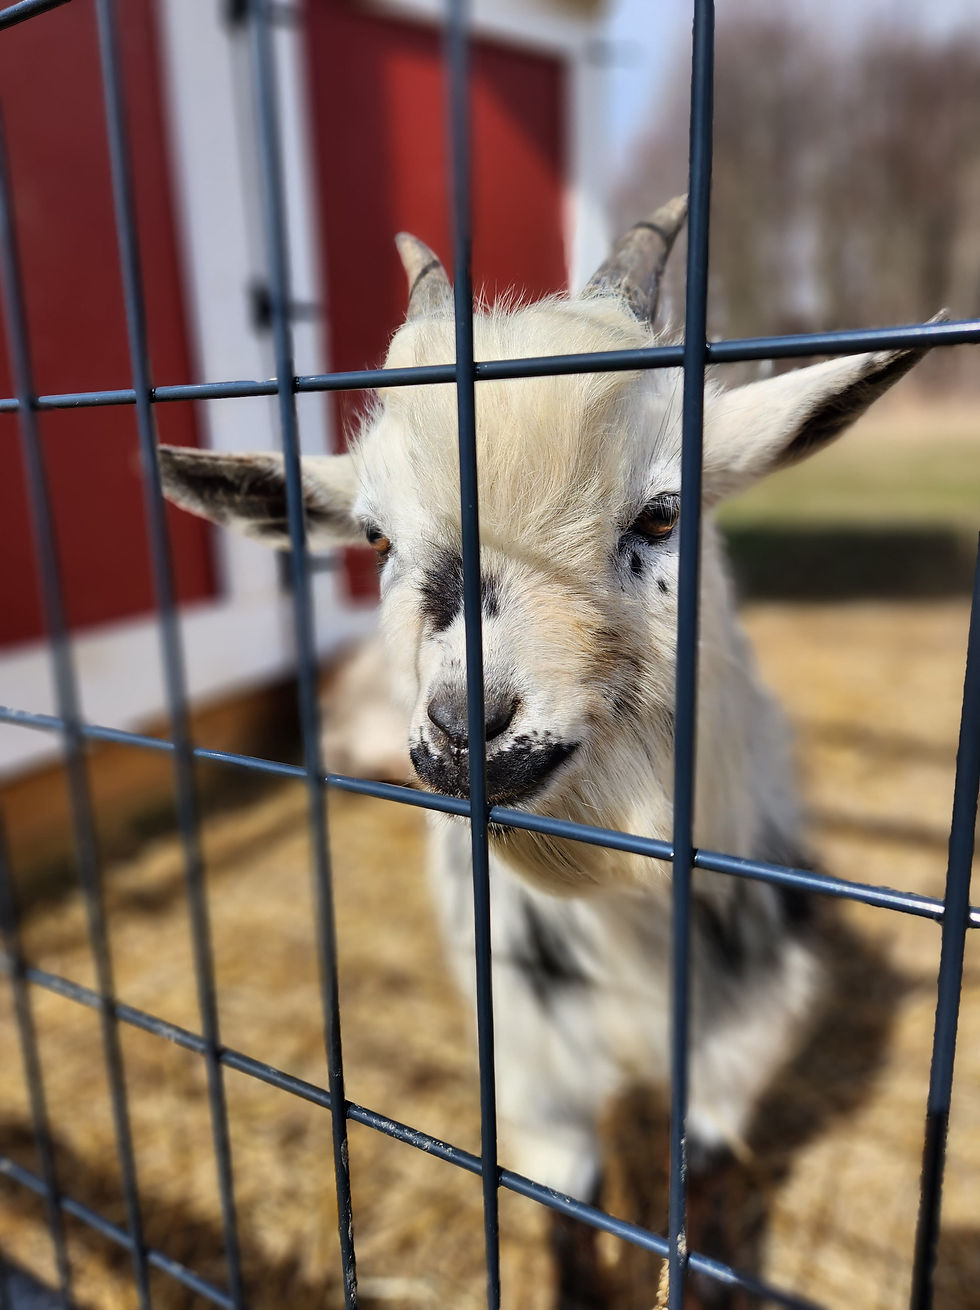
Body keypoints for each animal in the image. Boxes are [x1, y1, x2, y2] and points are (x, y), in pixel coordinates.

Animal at [159, 199, 938, 1307]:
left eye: (662, 512)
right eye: (374, 539)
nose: (462, 724)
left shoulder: (738, 1031)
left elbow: (702, 1186)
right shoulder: (529, 1058)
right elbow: (565, 1203)